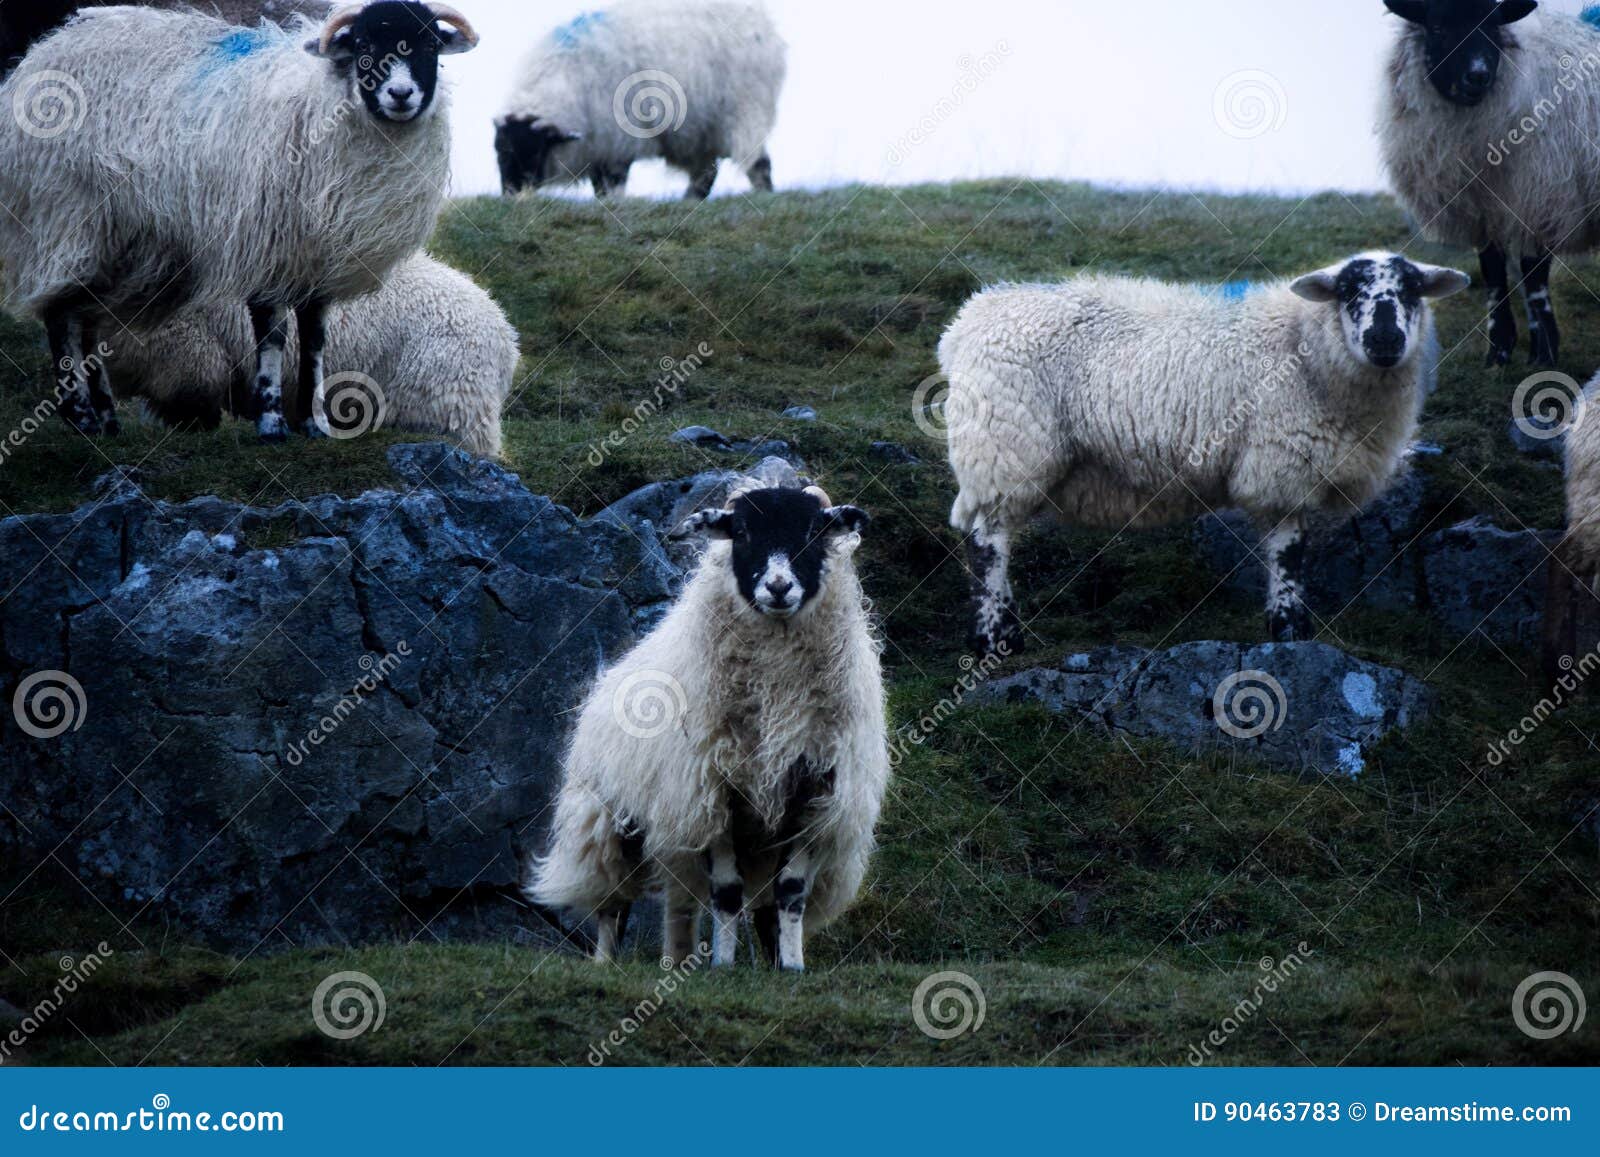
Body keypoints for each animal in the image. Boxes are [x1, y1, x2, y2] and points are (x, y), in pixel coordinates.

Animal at [0, 1, 478, 441]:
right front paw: (271, 422)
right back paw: (80, 417)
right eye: (364, 46)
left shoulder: (317, 258)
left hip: (123, 246)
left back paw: (107, 419)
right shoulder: (266, 242)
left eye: (430, 46)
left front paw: (315, 424)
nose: (401, 94)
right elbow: (273, 336)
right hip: (67, 219)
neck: (324, 103)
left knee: (87, 321)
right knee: (60, 316)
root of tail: (42, 53)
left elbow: (315, 340)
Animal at [495, 1, 786, 200]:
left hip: (744, 112)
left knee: (758, 163)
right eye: (500, 151)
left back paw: (764, 196)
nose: (511, 194)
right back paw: (690, 201)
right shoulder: (599, 144)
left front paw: (614, 204)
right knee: (707, 173)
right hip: (700, 133)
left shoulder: (617, 140)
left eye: (535, 152)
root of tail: (765, 26)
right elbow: (600, 185)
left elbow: (613, 182)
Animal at [527, 482, 888, 972]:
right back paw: (606, 961)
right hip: (608, 818)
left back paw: (686, 958)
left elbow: (789, 894)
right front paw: (723, 965)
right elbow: (727, 893)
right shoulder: (713, 793)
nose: (778, 587)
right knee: (613, 901)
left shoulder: (815, 794)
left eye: (814, 531)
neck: (776, 692)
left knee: (689, 905)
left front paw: (791, 967)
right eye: (742, 532)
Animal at [941, 252, 1470, 655]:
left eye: (1413, 290)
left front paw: (1291, 630)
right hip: (1005, 446)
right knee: (987, 541)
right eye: (1349, 291)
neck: (1304, 345)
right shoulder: (1281, 464)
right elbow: (1289, 554)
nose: (1385, 339)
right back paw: (994, 639)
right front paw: (1289, 633)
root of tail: (968, 321)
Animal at [1380, 0, 1597, 368]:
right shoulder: (1481, 207)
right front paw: (1499, 350)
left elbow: (1533, 274)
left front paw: (1544, 353)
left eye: (1493, 26)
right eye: (1437, 27)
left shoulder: (1540, 194)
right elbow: (1493, 272)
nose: (1478, 74)